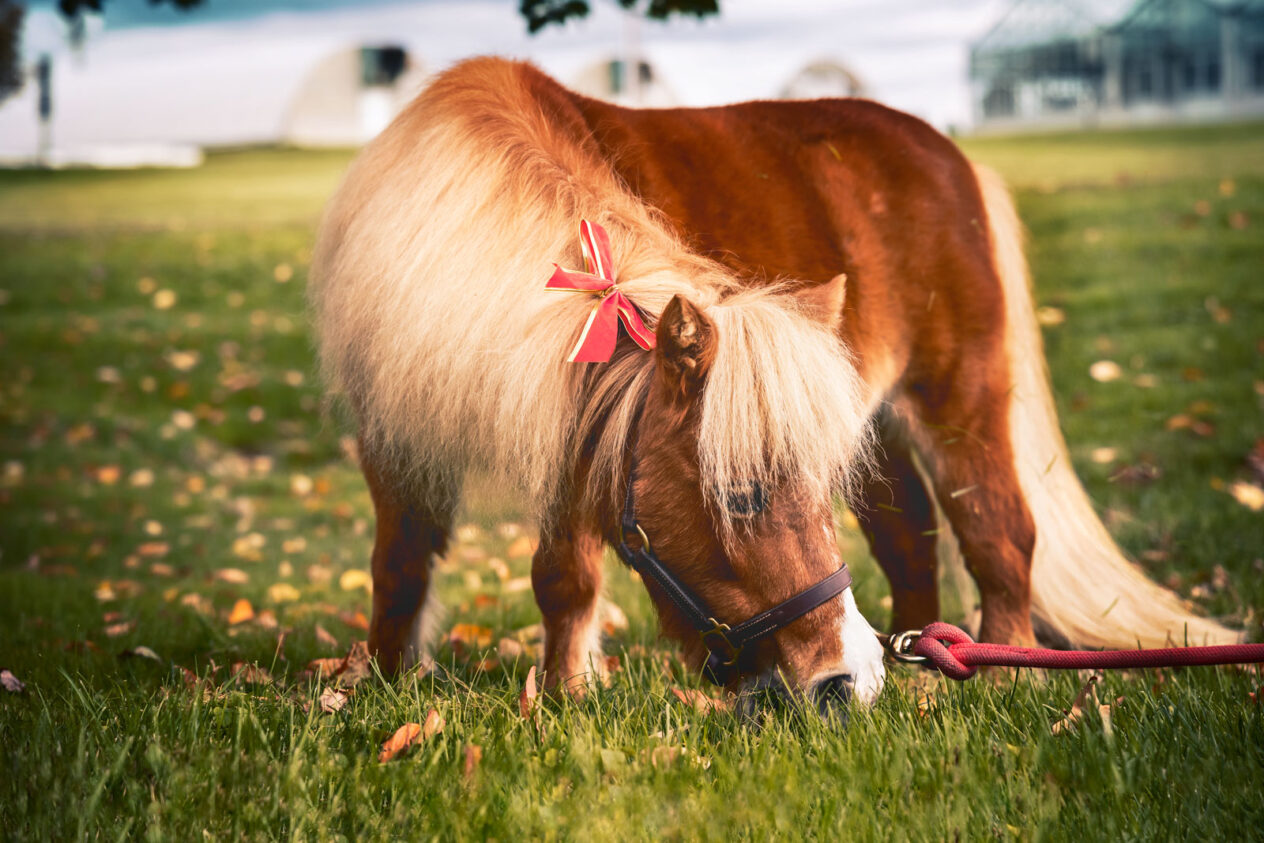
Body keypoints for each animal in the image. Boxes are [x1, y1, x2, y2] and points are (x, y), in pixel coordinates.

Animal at [310, 57, 1239, 708]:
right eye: (743, 497)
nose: (846, 682)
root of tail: (950, 156)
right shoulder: (397, 434)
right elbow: (400, 565)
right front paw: (381, 681)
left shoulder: (576, 436)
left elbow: (563, 574)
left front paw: (568, 695)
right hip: (870, 423)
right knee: (911, 538)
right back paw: (921, 663)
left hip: (958, 398)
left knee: (1000, 531)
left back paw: (996, 673)